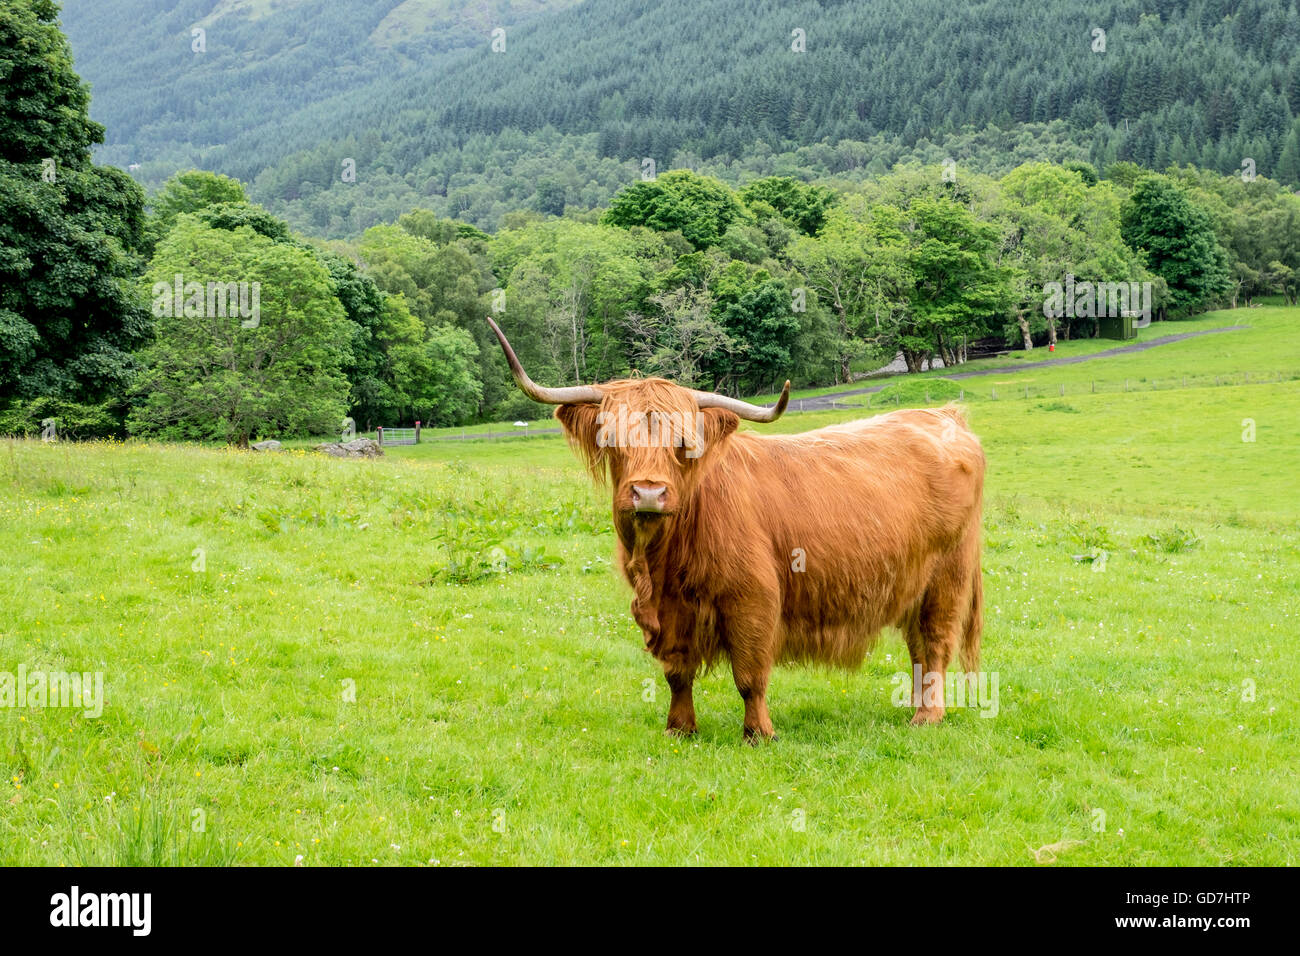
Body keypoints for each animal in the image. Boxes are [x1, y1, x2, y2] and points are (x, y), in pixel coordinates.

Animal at [487, 317, 985, 741]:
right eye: (613, 438)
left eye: (683, 442)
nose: (648, 492)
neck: (661, 562)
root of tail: (943, 416)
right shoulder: (671, 612)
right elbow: (677, 673)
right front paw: (680, 728)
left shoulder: (753, 599)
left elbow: (750, 675)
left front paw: (759, 732)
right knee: (918, 646)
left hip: (947, 577)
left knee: (935, 642)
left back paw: (927, 716)